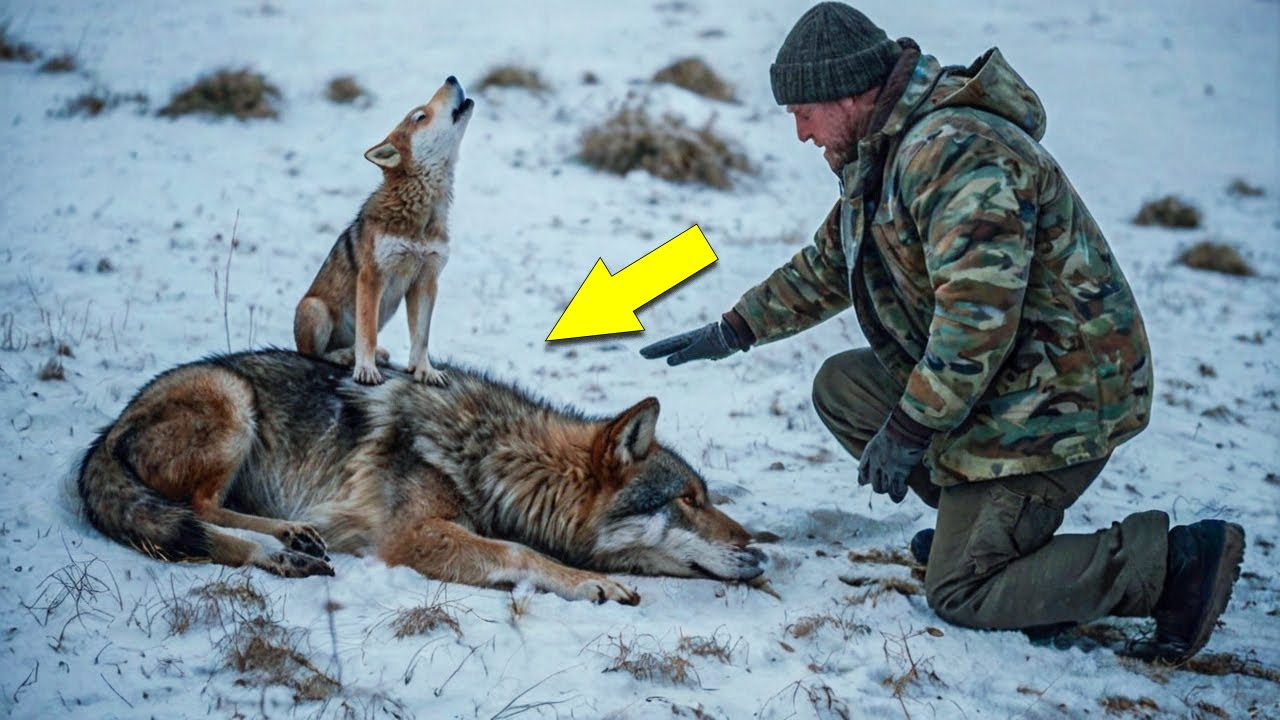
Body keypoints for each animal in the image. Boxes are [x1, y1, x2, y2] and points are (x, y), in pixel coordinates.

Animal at [76, 350, 765, 604]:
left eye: (706, 498)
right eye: (688, 500)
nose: (758, 554)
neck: (496, 457)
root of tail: (109, 429)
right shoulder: (410, 536)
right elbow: (518, 552)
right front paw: (589, 582)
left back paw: (294, 542)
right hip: (231, 399)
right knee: (196, 510)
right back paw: (285, 549)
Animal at [294, 76, 473, 386]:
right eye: (420, 116)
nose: (451, 78)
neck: (422, 216)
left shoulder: (426, 281)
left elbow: (421, 339)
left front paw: (425, 371)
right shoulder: (372, 277)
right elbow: (367, 333)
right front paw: (365, 370)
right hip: (314, 308)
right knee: (312, 354)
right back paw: (344, 356)